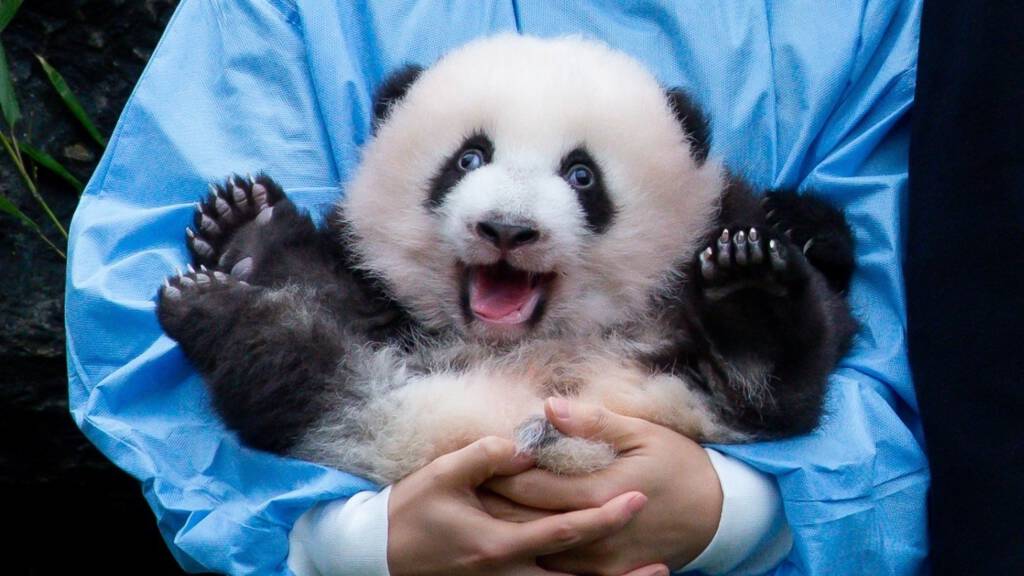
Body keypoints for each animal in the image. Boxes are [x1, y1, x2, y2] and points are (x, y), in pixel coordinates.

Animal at [157, 35, 857, 484]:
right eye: (469, 158)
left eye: (581, 175)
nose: (507, 228)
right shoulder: (388, 306)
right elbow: (346, 290)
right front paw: (252, 231)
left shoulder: (711, 234)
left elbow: (822, 327)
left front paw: (770, 253)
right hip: (392, 416)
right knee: (296, 367)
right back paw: (246, 235)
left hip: (689, 401)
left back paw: (750, 295)